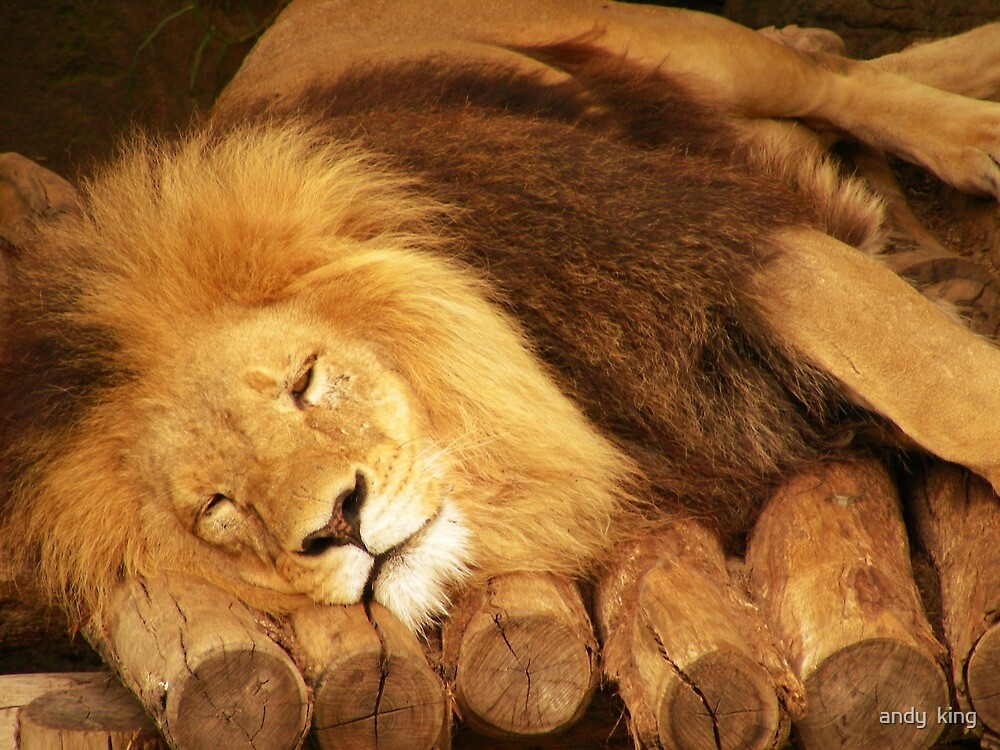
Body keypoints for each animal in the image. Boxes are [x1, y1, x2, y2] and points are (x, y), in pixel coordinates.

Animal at [3, 0, 1000, 647]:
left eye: (305, 381)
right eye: (218, 507)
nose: (337, 525)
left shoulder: (720, 244)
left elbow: (951, 393)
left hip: (664, 38)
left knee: (831, 78)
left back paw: (970, 136)